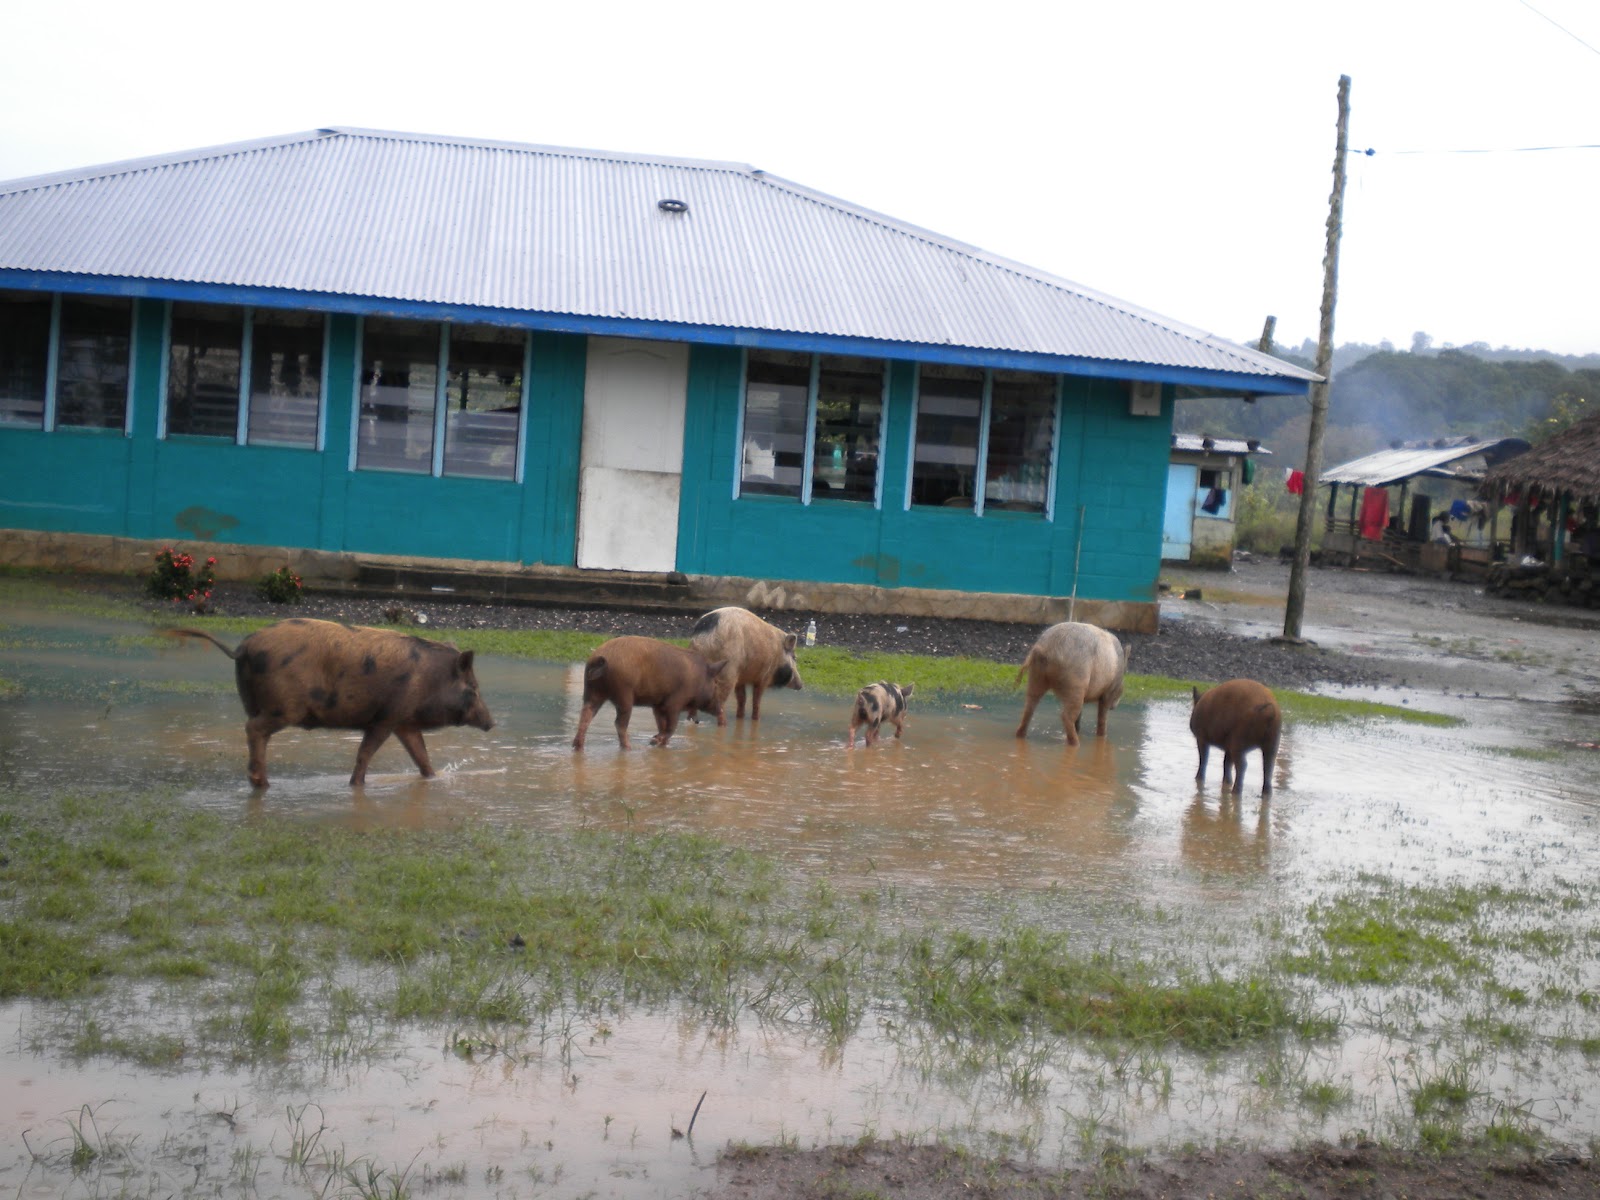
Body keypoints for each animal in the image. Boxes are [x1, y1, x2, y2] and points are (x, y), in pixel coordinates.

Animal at [167, 618, 494, 788]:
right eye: (474, 688)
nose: (492, 723)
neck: (429, 679)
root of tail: (241, 648)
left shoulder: (404, 721)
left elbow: (421, 756)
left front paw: (434, 778)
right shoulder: (387, 717)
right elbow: (365, 752)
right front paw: (356, 785)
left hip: (252, 701)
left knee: (254, 731)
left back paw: (260, 781)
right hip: (284, 707)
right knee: (253, 729)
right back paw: (262, 782)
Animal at [572, 636, 727, 750]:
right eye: (716, 683)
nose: (721, 711)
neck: (699, 678)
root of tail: (599, 658)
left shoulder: (657, 705)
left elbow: (662, 724)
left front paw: (661, 744)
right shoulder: (674, 702)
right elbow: (671, 727)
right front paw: (654, 741)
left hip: (592, 691)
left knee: (585, 716)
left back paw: (577, 746)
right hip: (624, 693)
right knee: (619, 723)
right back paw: (629, 748)